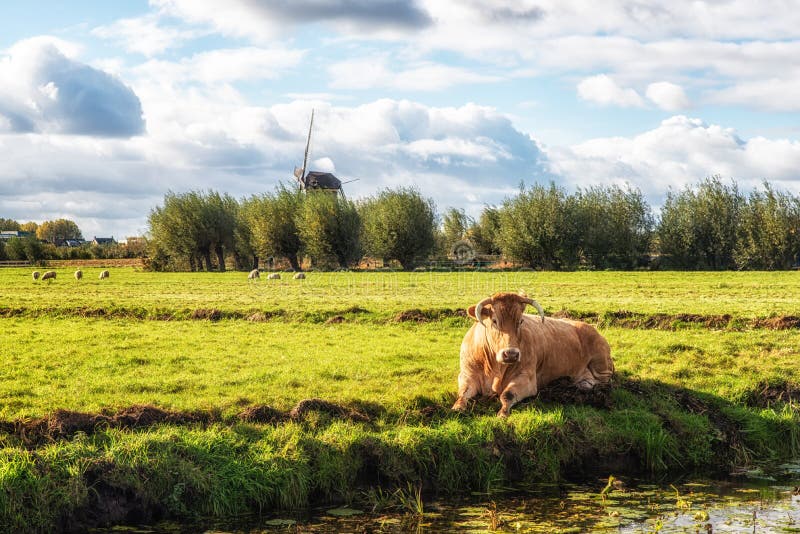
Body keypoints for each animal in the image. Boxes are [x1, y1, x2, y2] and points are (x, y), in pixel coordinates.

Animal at [452, 291, 614, 417]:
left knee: (605, 381)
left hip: (601, 364)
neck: (494, 368)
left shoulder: (527, 379)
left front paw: (503, 413)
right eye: (494, 321)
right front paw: (457, 408)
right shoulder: (467, 374)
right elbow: (463, 392)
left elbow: (507, 394)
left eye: (521, 321)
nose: (511, 354)